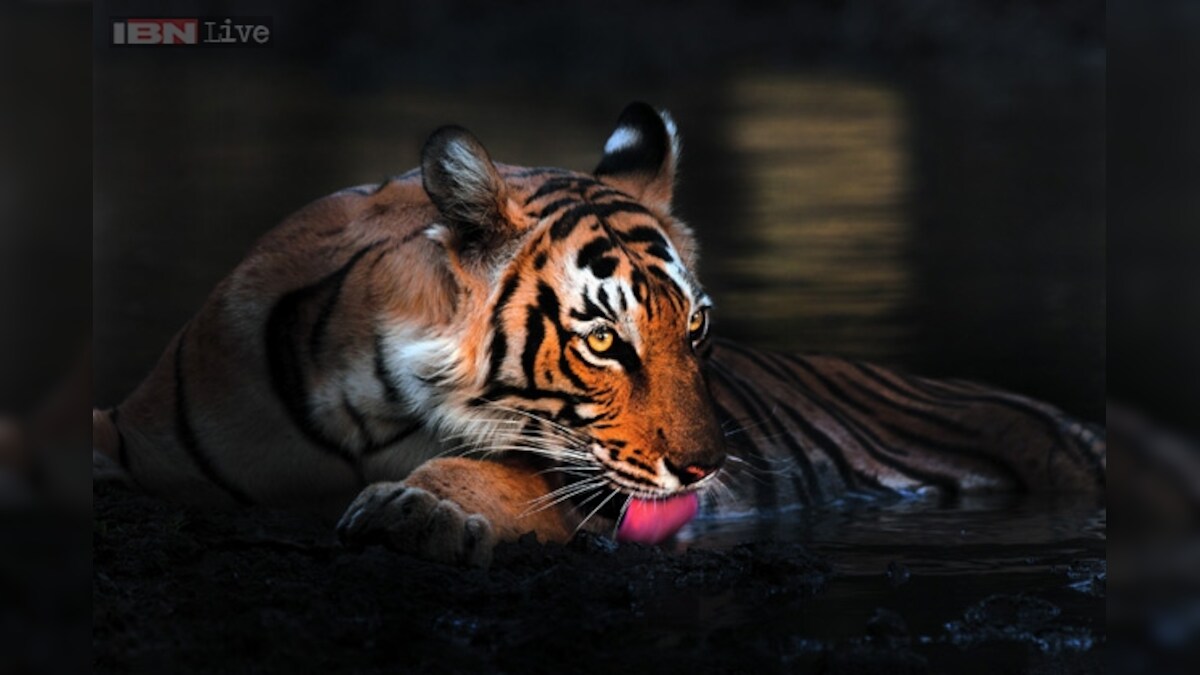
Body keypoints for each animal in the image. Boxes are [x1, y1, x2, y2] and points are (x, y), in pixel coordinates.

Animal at [92, 102, 1106, 566]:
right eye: (606, 342)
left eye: (697, 332)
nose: (706, 470)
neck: (368, 410)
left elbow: (505, 476)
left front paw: (418, 509)